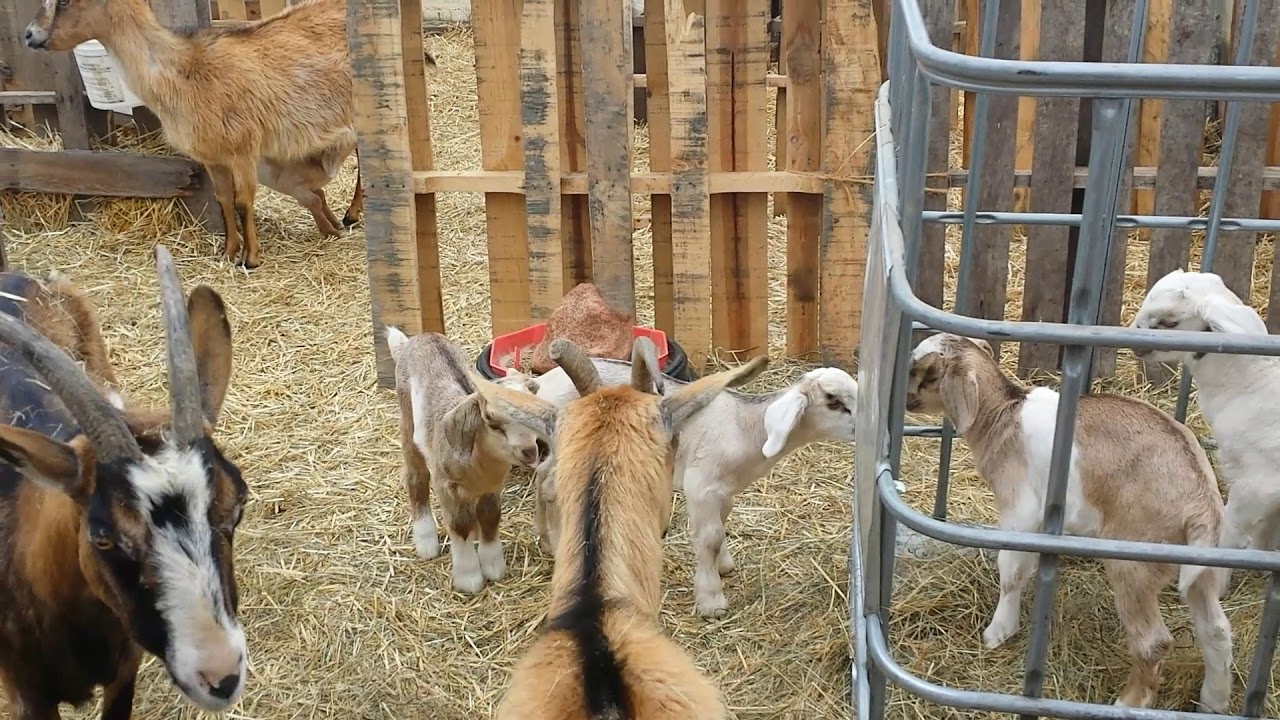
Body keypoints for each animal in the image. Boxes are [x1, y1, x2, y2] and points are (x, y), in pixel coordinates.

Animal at [25, 0, 355, 268]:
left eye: (64, 0)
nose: (29, 34)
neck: (185, 71)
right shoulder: (213, 157)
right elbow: (224, 199)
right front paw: (228, 252)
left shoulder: (244, 147)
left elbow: (243, 200)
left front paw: (250, 258)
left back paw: (352, 214)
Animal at [385, 327, 544, 594]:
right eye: (492, 422)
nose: (529, 452)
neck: (479, 465)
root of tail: (421, 337)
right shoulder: (448, 487)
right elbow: (460, 525)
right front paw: (469, 577)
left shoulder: (492, 488)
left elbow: (491, 517)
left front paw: (493, 566)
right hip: (407, 419)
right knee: (416, 477)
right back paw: (426, 541)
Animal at [527, 358, 858, 617]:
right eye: (833, 401)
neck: (746, 429)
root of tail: (541, 382)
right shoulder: (701, 486)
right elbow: (709, 537)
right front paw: (711, 600)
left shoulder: (722, 491)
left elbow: (721, 525)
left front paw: (723, 565)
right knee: (551, 485)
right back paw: (555, 540)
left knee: (543, 475)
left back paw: (545, 537)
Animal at [906, 332, 1232, 712]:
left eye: (927, 373)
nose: (907, 400)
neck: (1001, 414)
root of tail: (1200, 503)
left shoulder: (1019, 511)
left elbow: (1011, 572)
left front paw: (998, 632)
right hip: (1201, 568)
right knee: (1216, 630)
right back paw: (1213, 702)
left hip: (1134, 561)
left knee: (1154, 641)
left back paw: (1127, 702)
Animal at [1131, 268, 1280, 554]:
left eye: (1169, 323)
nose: (1136, 344)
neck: (1248, 383)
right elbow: (1264, 538)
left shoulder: (1258, 484)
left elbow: (1232, 529)